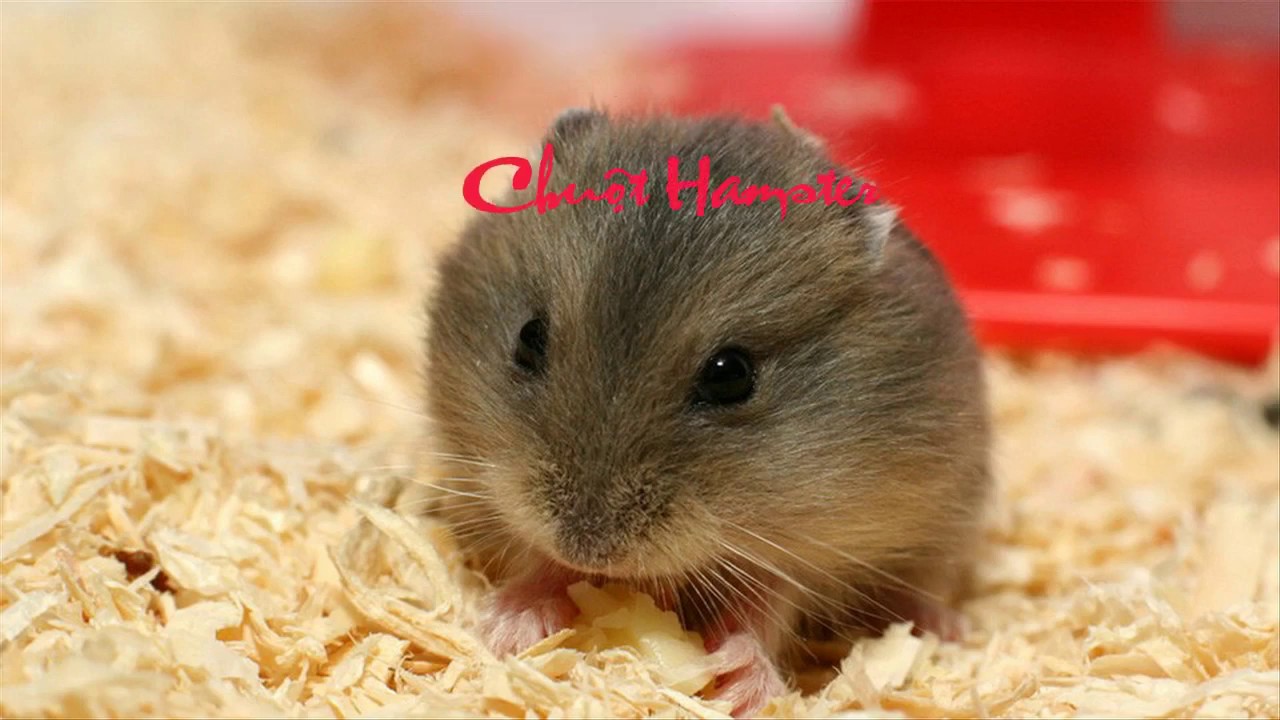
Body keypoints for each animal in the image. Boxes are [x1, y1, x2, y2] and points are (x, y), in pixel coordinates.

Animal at [422, 108, 991, 717]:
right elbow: (538, 560)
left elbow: (768, 603)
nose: (589, 547)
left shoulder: (815, 542)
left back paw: (944, 627)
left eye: (730, 374)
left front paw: (743, 688)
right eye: (529, 337)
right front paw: (507, 629)